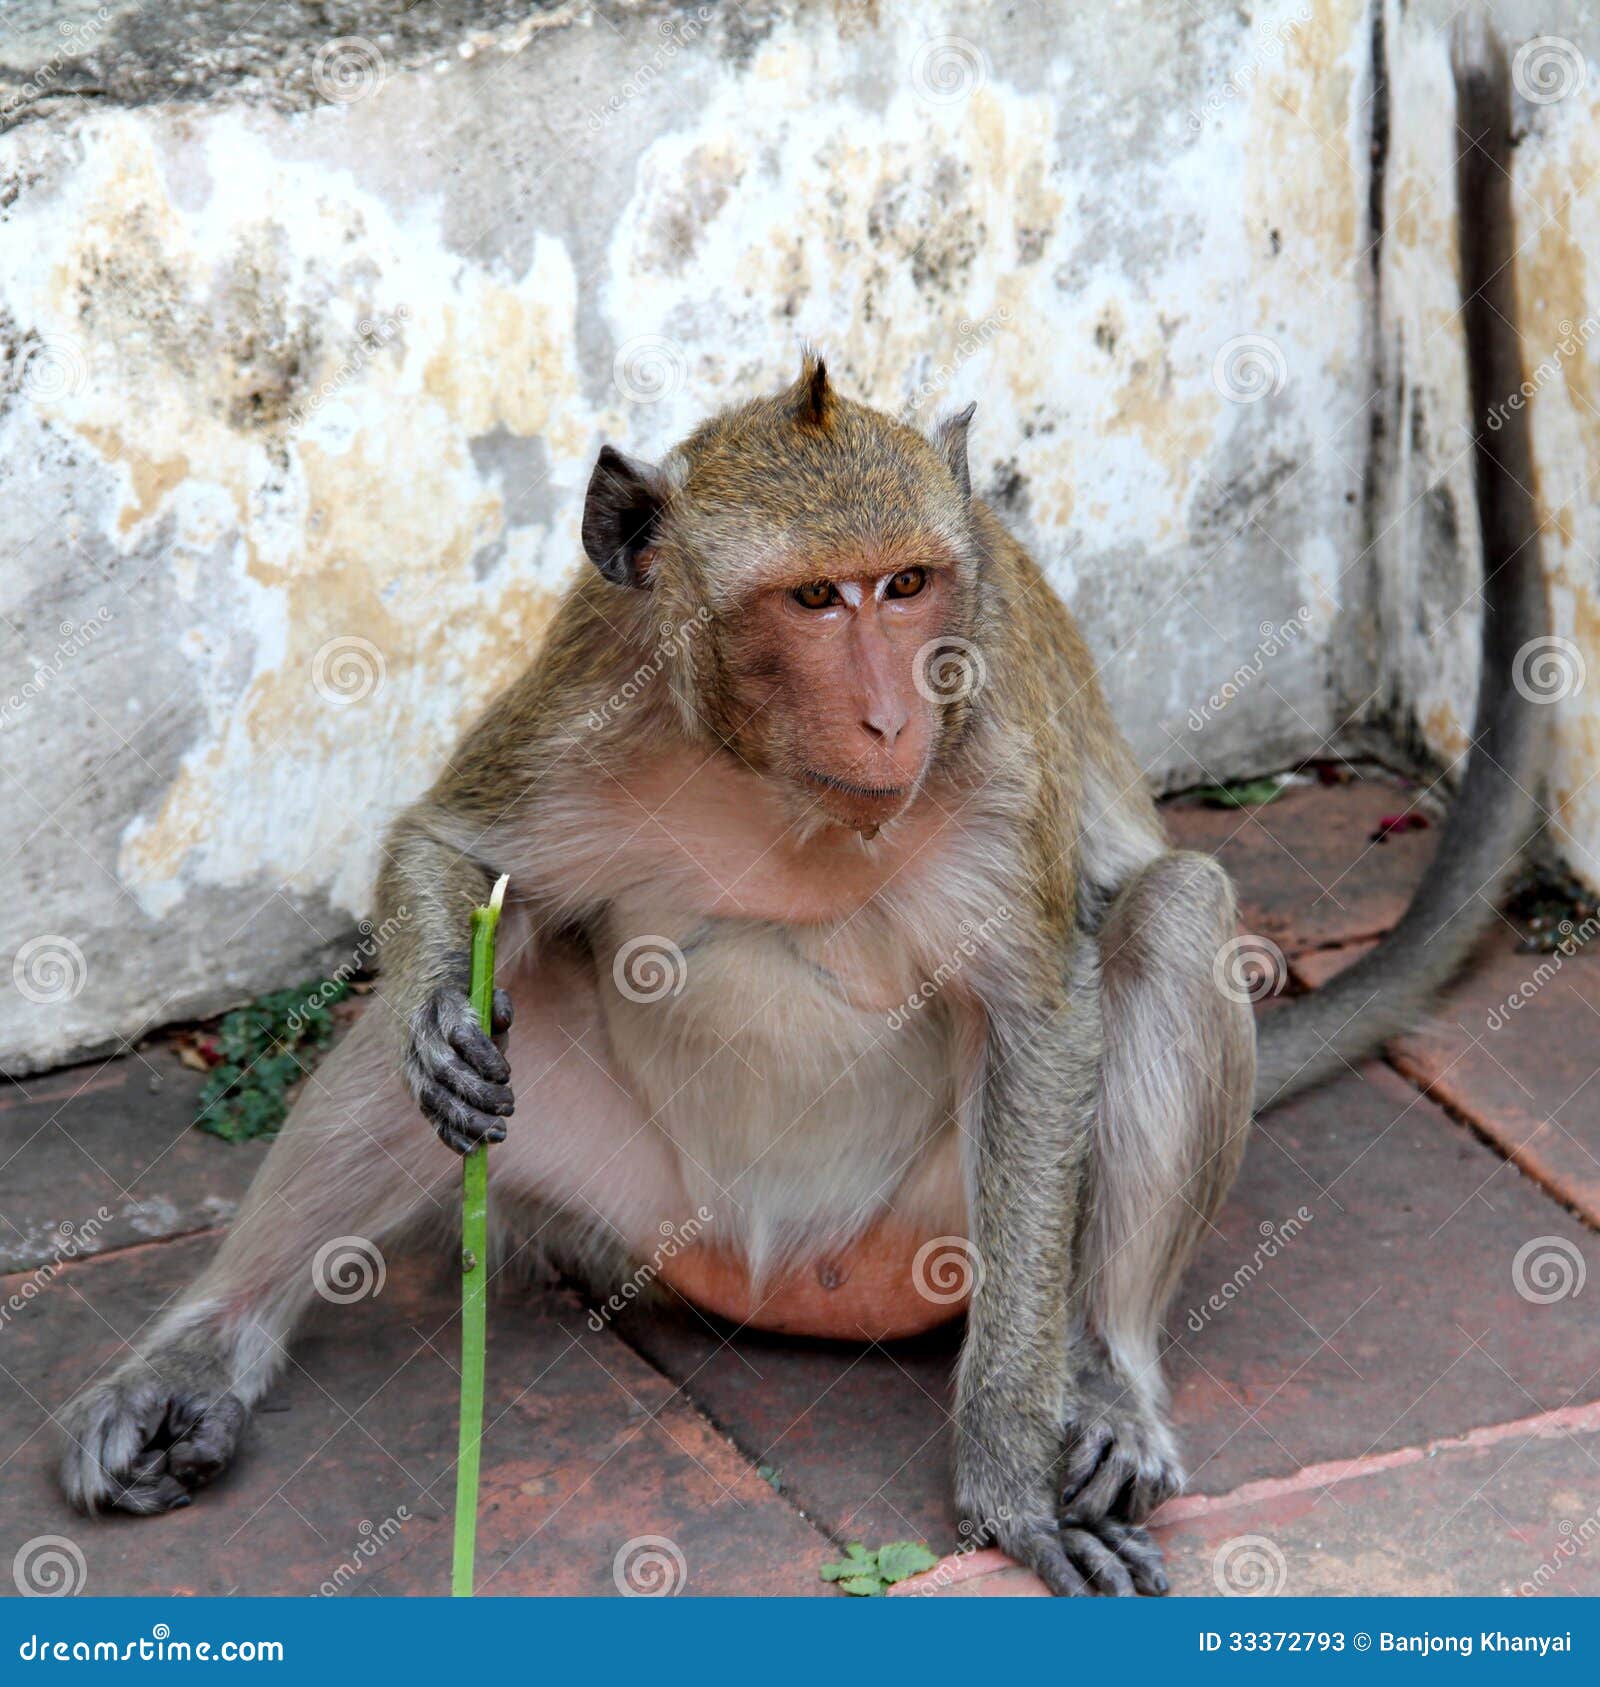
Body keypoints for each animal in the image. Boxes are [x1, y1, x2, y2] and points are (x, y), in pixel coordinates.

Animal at [56, 28, 1543, 1597]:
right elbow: (450, 854)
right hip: (604, 1195)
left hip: (933, 1228)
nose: (892, 714)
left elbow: (1041, 1016)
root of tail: (780, 1274)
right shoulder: (589, 706)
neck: (783, 787)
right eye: (815, 599)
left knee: (1174, 915)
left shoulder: (993, 752)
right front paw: (434, 1022)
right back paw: (192, 1363)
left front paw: (1008, 1467)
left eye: (908, 585)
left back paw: (1106, 1382)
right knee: (501, 996)